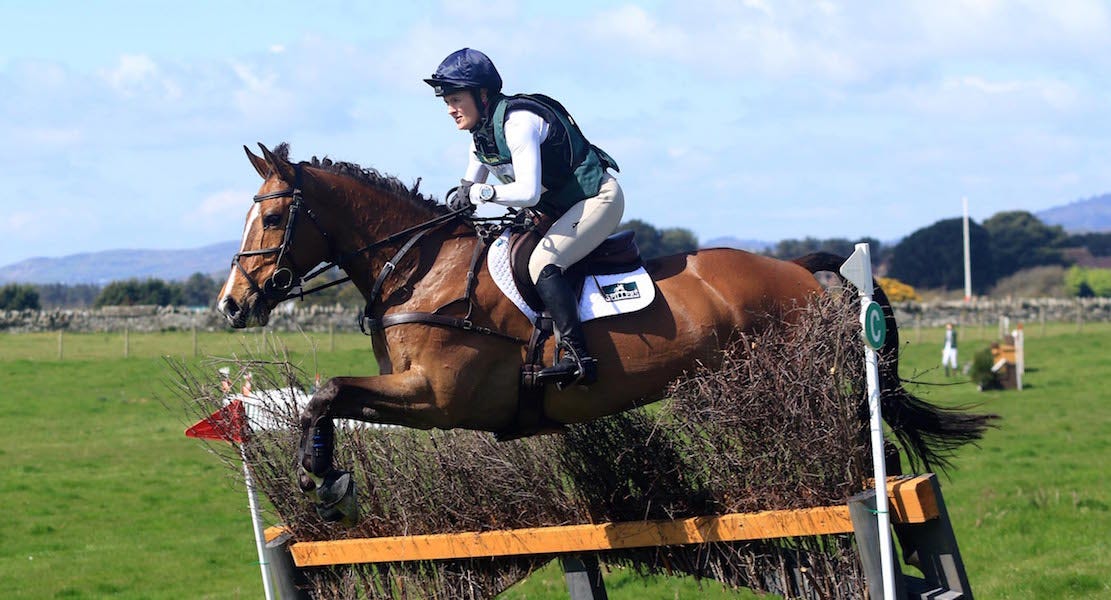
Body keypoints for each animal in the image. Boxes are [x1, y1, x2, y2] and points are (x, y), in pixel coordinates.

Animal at [217, 143, 993, 525]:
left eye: (275, 217)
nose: (231, 306)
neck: (420, 268)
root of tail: (795, 267)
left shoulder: (440, 397)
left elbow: (326, 390)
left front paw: (326, 481)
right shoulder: (417, 395)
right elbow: (326, 397)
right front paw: (324, 476)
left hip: (791, 383)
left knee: (859, 447)